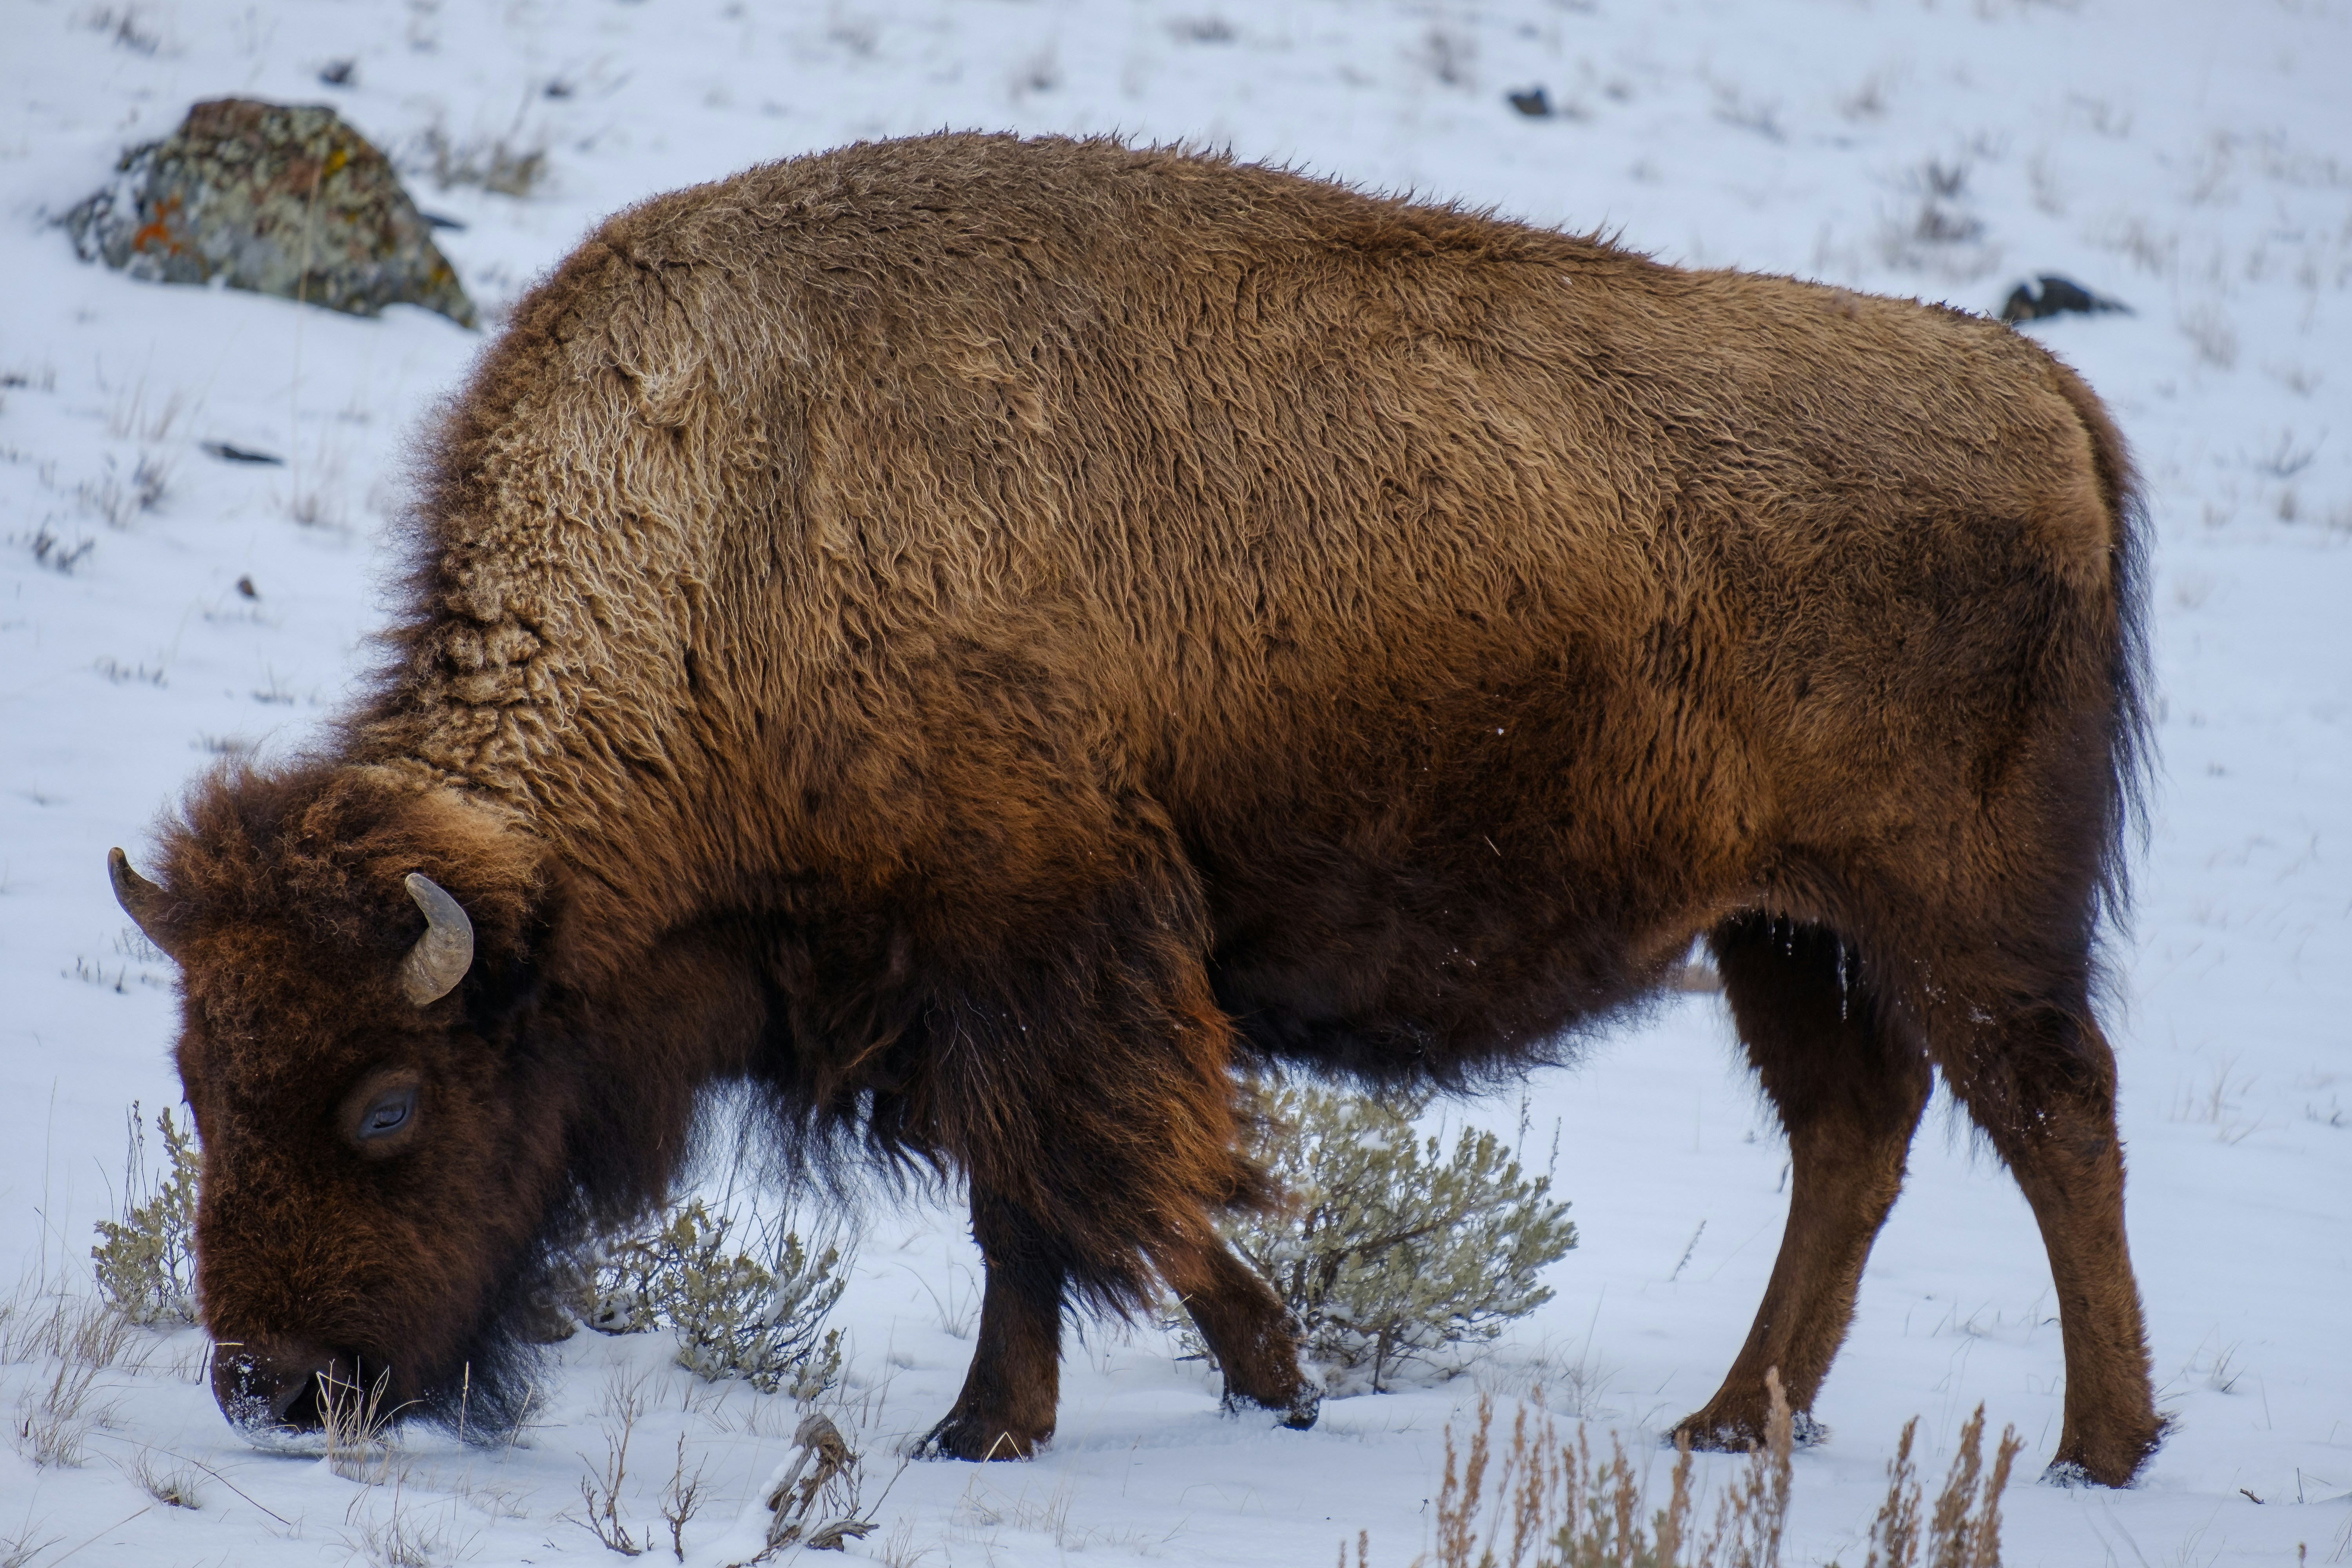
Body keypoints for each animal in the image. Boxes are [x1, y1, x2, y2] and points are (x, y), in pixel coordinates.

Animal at [109, 132, 2162, 1484]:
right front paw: (1165, 1391)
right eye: (198, 1079)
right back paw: (1735, 1423)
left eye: (387, 1100)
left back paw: (2095, 1445)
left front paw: (1028, 1419)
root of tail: (2034, 382)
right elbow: (1054, 1195)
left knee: (2049, 1112)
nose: (271, 1387)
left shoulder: (1040, 946)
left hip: (1952, 912)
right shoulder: (948, 984)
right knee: (1856, 1132)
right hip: (1780, 926)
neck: (735, 515)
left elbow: (1069, 1190)